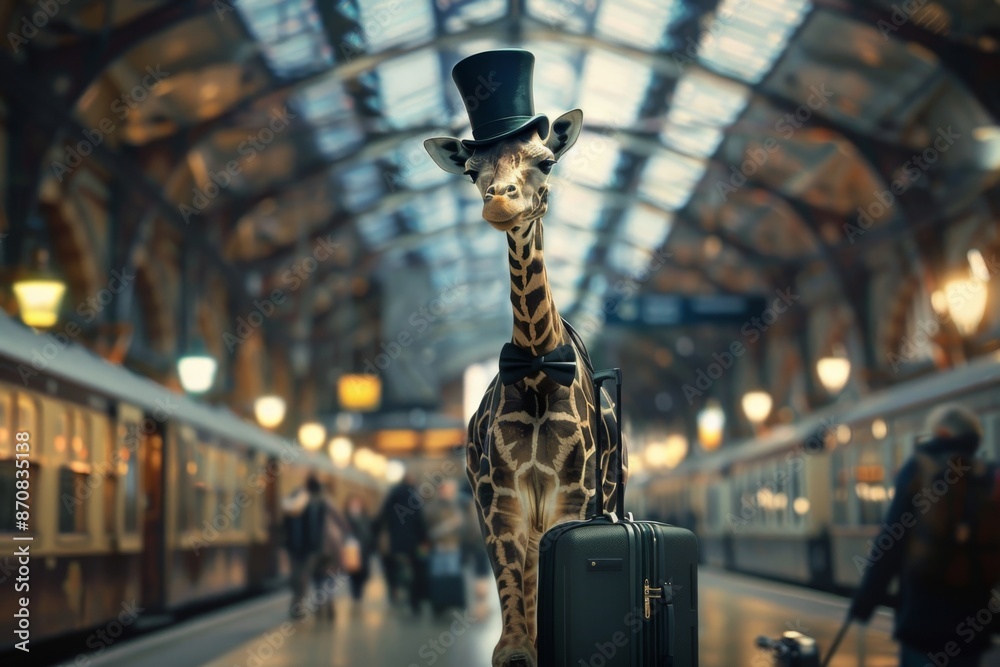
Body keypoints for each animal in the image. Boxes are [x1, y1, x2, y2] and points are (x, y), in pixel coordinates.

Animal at [426, 109, 626, 667]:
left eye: (546, 160)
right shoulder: (498, 499)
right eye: (472, 170)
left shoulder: (574, 495)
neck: (536, 367)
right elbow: (517, 642)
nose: (500, 199)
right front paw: (516, 644)